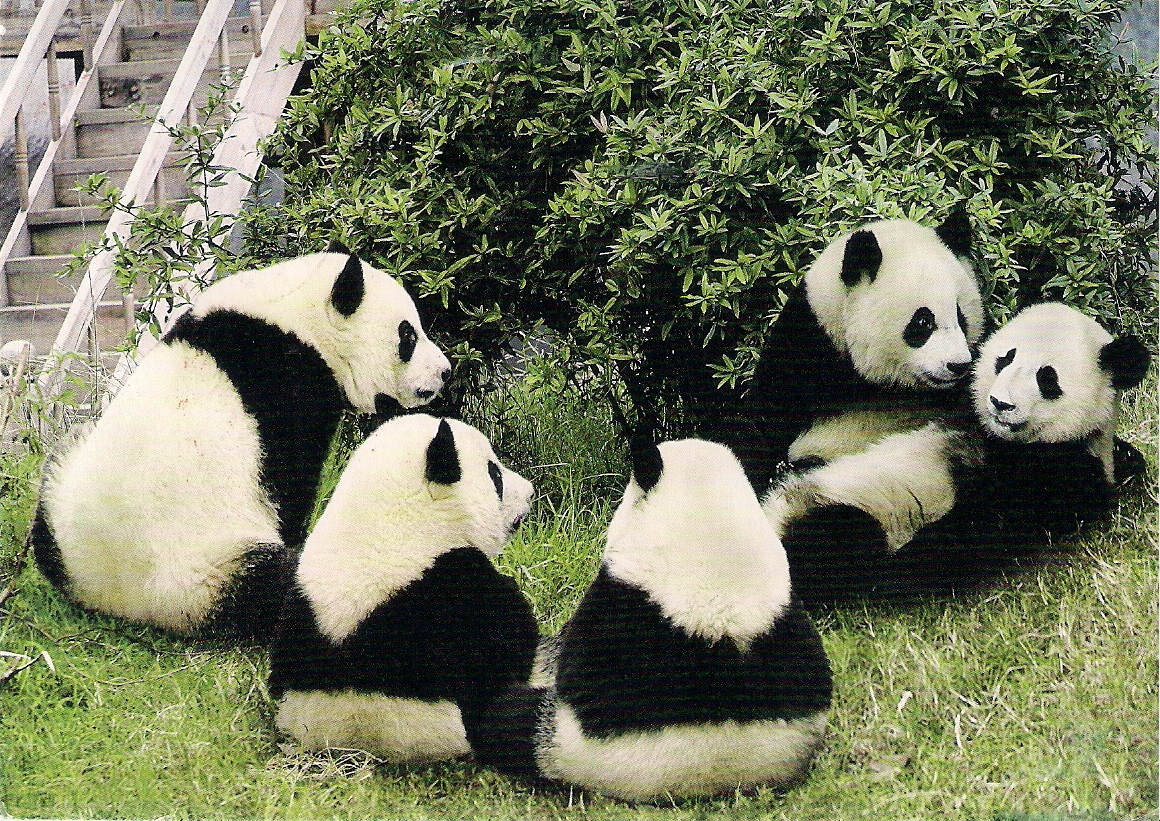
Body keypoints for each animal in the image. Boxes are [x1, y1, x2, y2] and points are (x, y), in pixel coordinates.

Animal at [30, 244, 451, 639]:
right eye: (408, 336)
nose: (445, 371)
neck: (295, 318)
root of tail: (118, 598)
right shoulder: (291, 385)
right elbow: (291, 482)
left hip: (61, 494)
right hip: (208, 567)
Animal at [764, 302, 1151, 605]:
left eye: (1047, 378)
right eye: (1004, 359)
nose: (999, 403)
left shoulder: (1064, 471)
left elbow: (986, 522)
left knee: (840, 537)